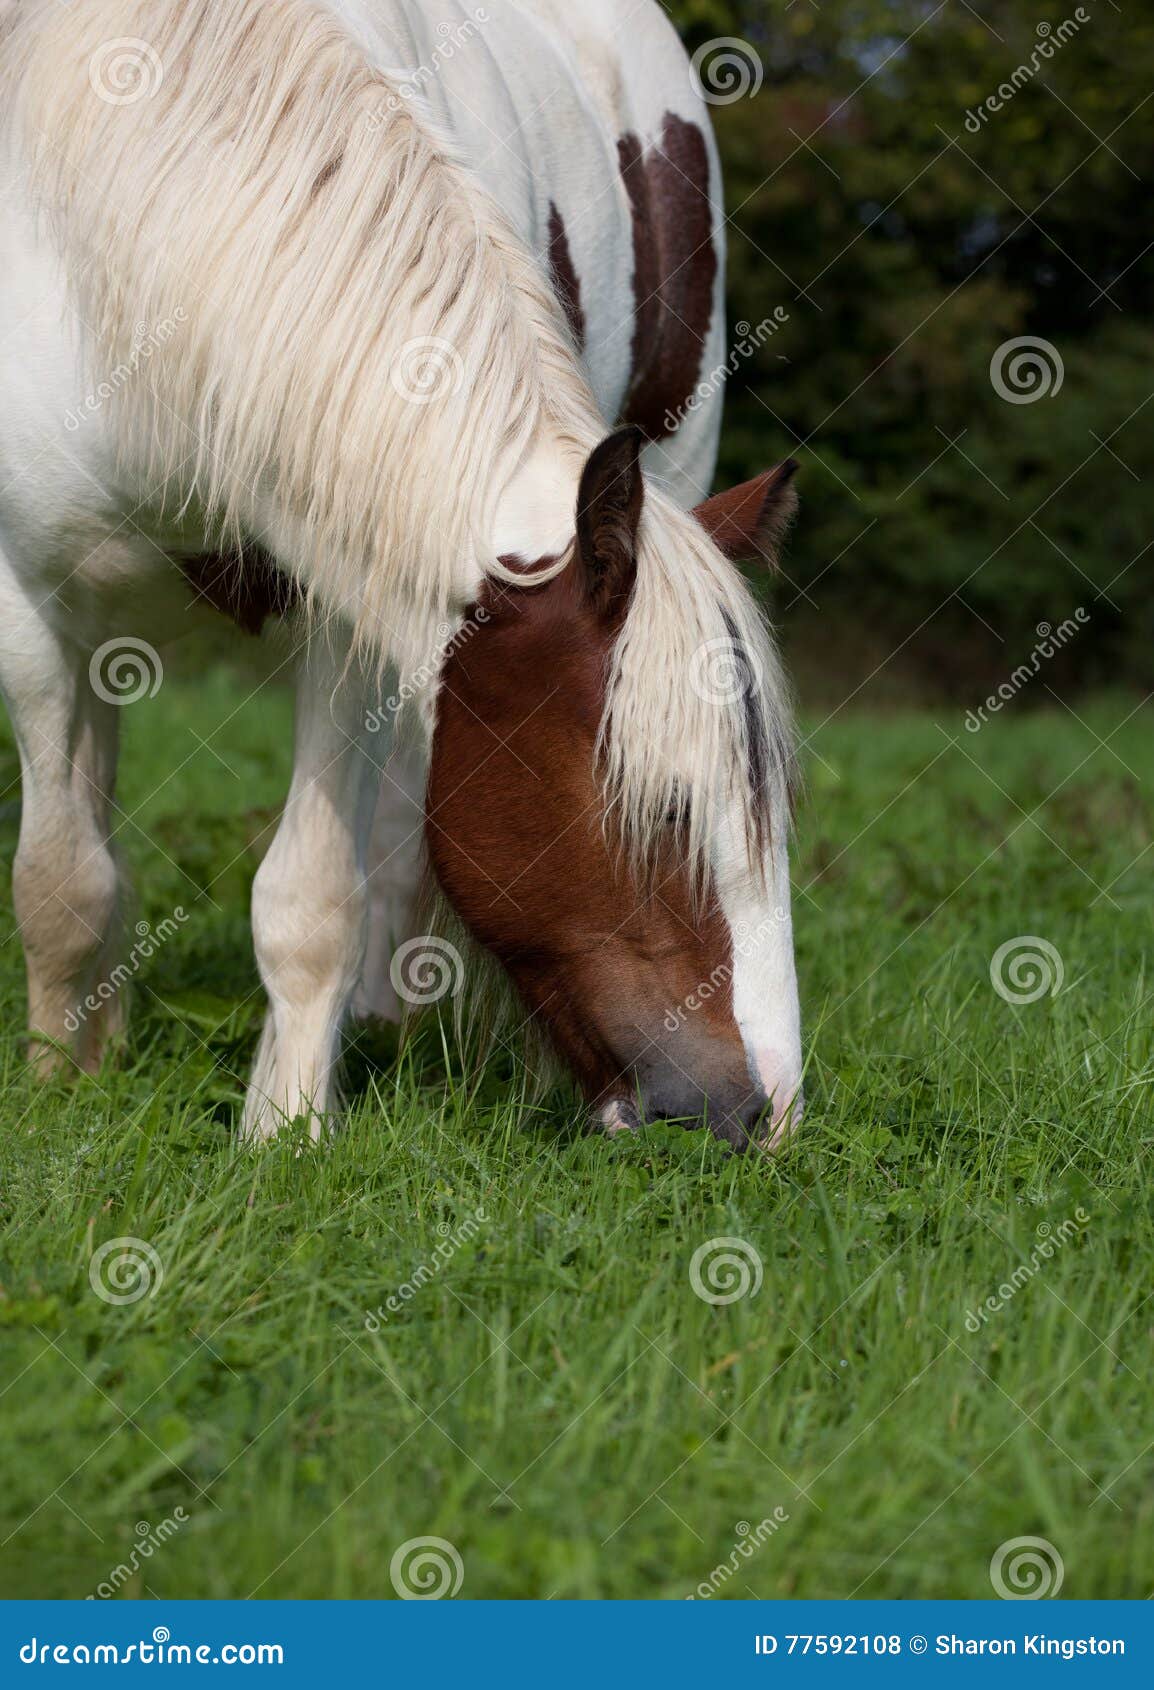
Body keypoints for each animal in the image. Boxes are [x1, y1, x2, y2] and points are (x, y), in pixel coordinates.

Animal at [0, 0, 803, 1151]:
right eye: (666, 814)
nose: (767, 1109)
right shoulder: (31, 599)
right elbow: (62, 879)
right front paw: (61, 1083)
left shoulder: (352, 609)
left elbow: (313, 897)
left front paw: (284, 1129)